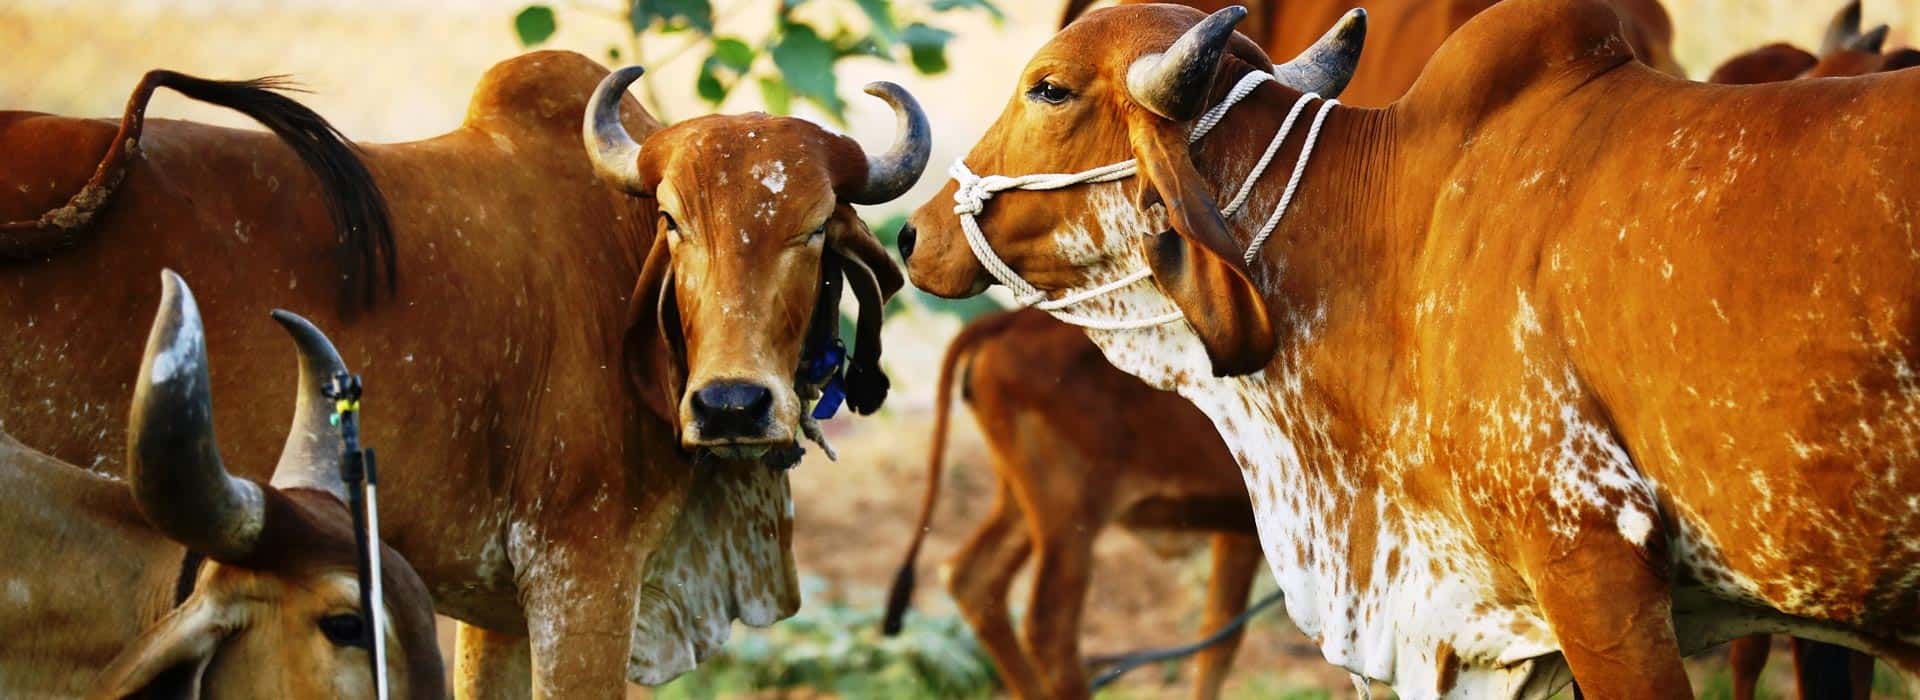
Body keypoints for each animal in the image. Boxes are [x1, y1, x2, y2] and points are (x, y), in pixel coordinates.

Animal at [879, 307, 1261, 699]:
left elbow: (1219, 636)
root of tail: (1011, 319)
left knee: (973, 579)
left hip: (1022, 504)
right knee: (1049, 631)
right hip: (1069, 517)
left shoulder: (1241, 531)